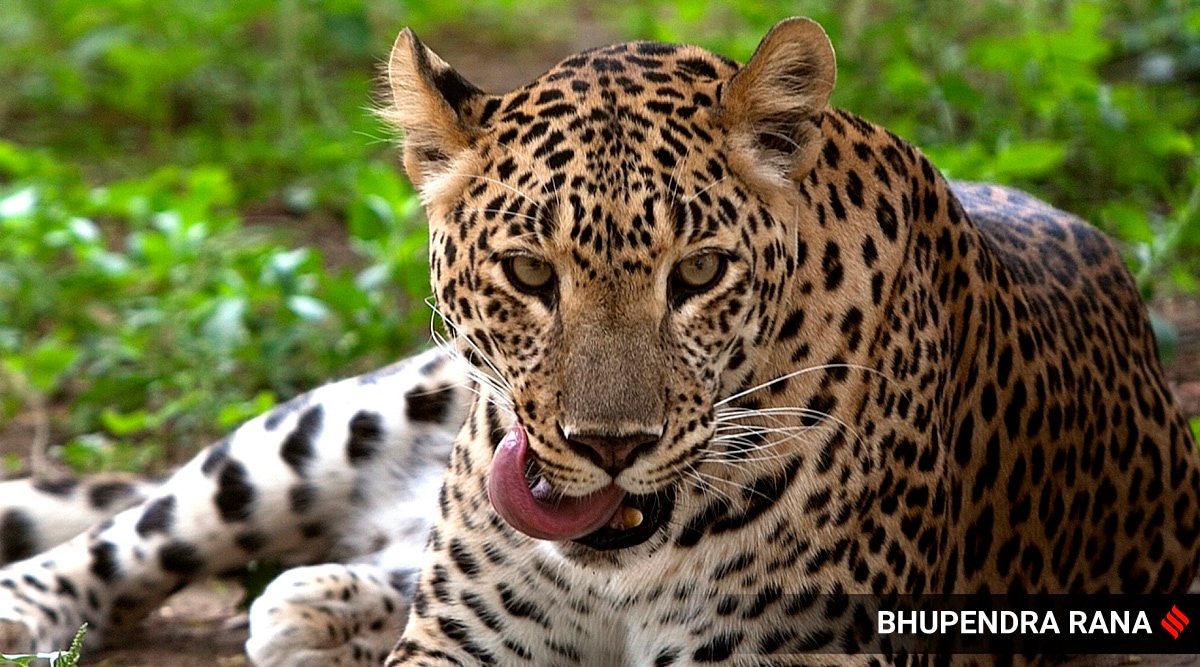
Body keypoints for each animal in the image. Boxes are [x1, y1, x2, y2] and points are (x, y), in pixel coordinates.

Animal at [0, 15, 1195, 667]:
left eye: (698, 274)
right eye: (531, 275)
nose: (610, 445)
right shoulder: (456, 642)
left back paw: (313, 604)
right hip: (341, 421)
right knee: (144, 528)